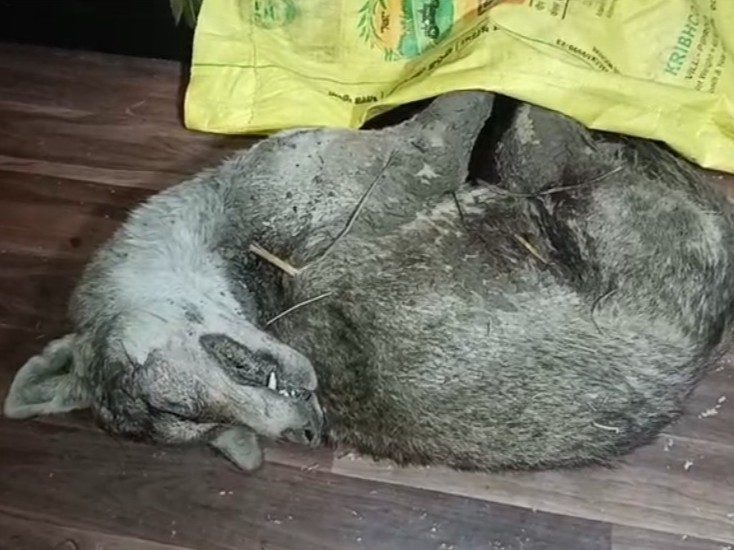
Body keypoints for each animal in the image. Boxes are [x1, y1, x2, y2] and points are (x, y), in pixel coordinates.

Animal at [5, 92, 734, 472]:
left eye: (177, 412)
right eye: (192, 424)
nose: (302, 436)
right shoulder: (418, 157)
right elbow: (460, 107)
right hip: (547, 172)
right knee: (544, 130)